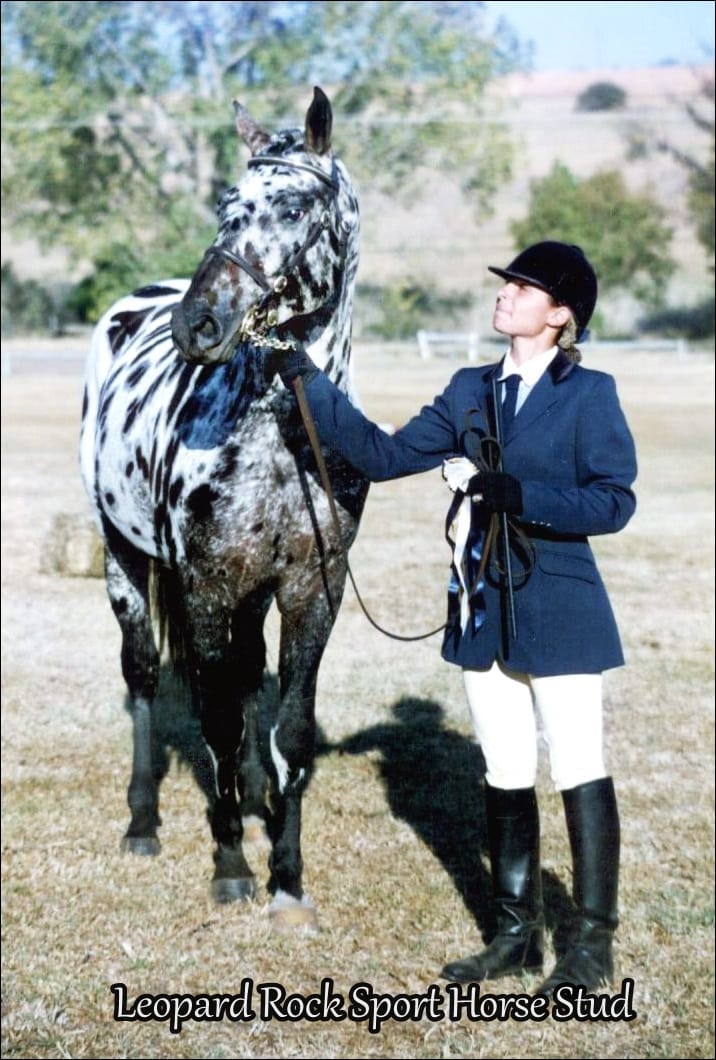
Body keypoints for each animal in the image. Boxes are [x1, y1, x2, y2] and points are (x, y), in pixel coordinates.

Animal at [80, 87, 367, 930]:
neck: (278, 434)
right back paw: (144, 822)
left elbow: (288, 728)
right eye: (225, 203)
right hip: (124, 559)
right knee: (145, 674)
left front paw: (289, 879)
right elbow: (213, 718)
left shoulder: (309, 592)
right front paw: (234, 865)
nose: (198, 323)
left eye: (296, 206)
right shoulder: (205, 587)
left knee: (240, 683)